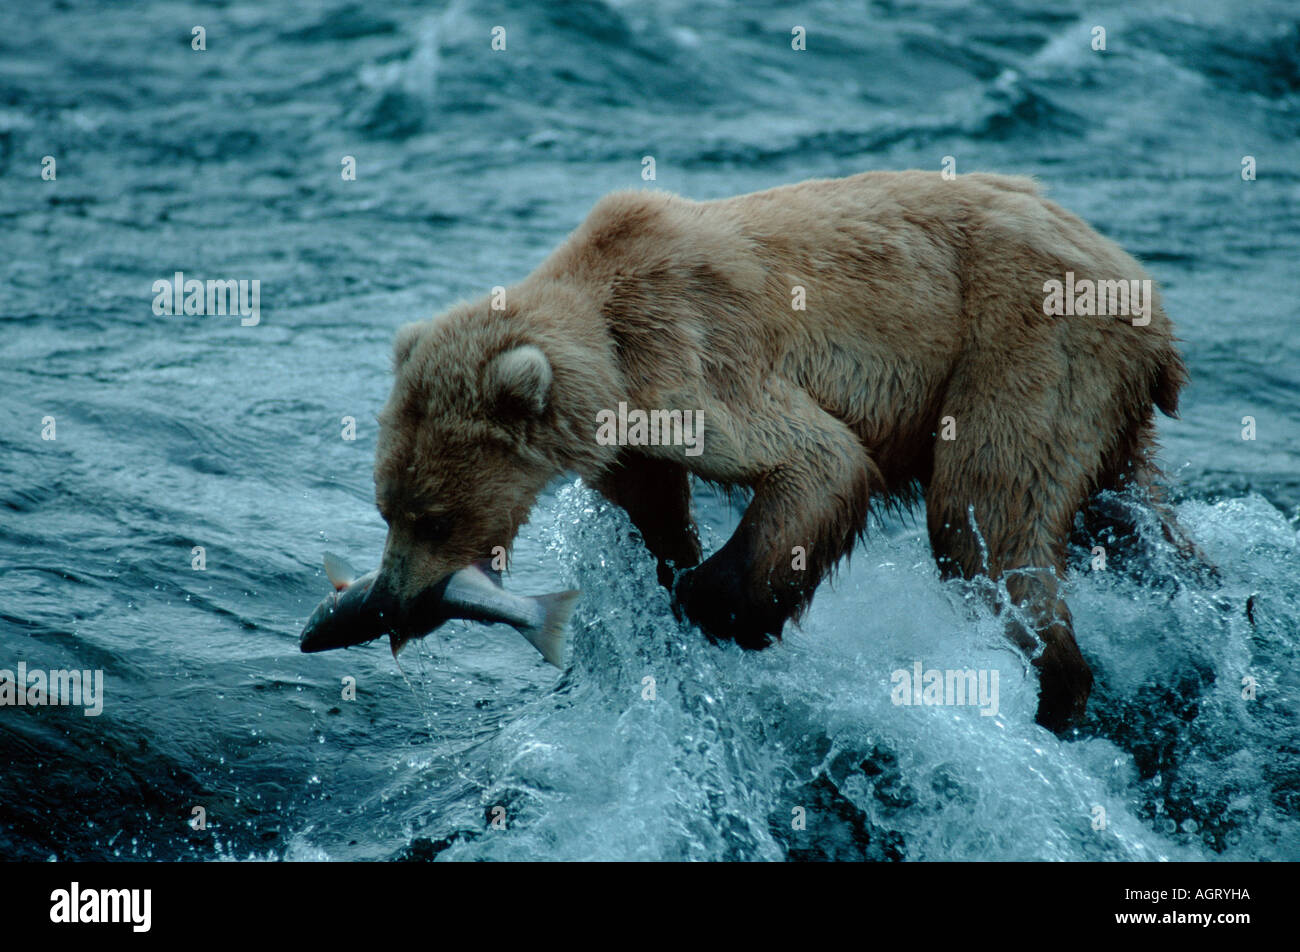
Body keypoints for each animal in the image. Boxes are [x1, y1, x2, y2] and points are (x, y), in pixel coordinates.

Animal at [366, 170, 1189, 733]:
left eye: (433, 516)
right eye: (386, 509)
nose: (391, 603)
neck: (611, 355)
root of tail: (1145, 296)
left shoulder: (692, 356)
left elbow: (818, 461)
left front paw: (713, 601)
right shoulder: (635, 433)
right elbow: (653, 501)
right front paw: (672, 563)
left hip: (1025, 346)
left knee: (986, 519)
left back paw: (1057, 686)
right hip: (1105, 410)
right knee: (1130, 517)